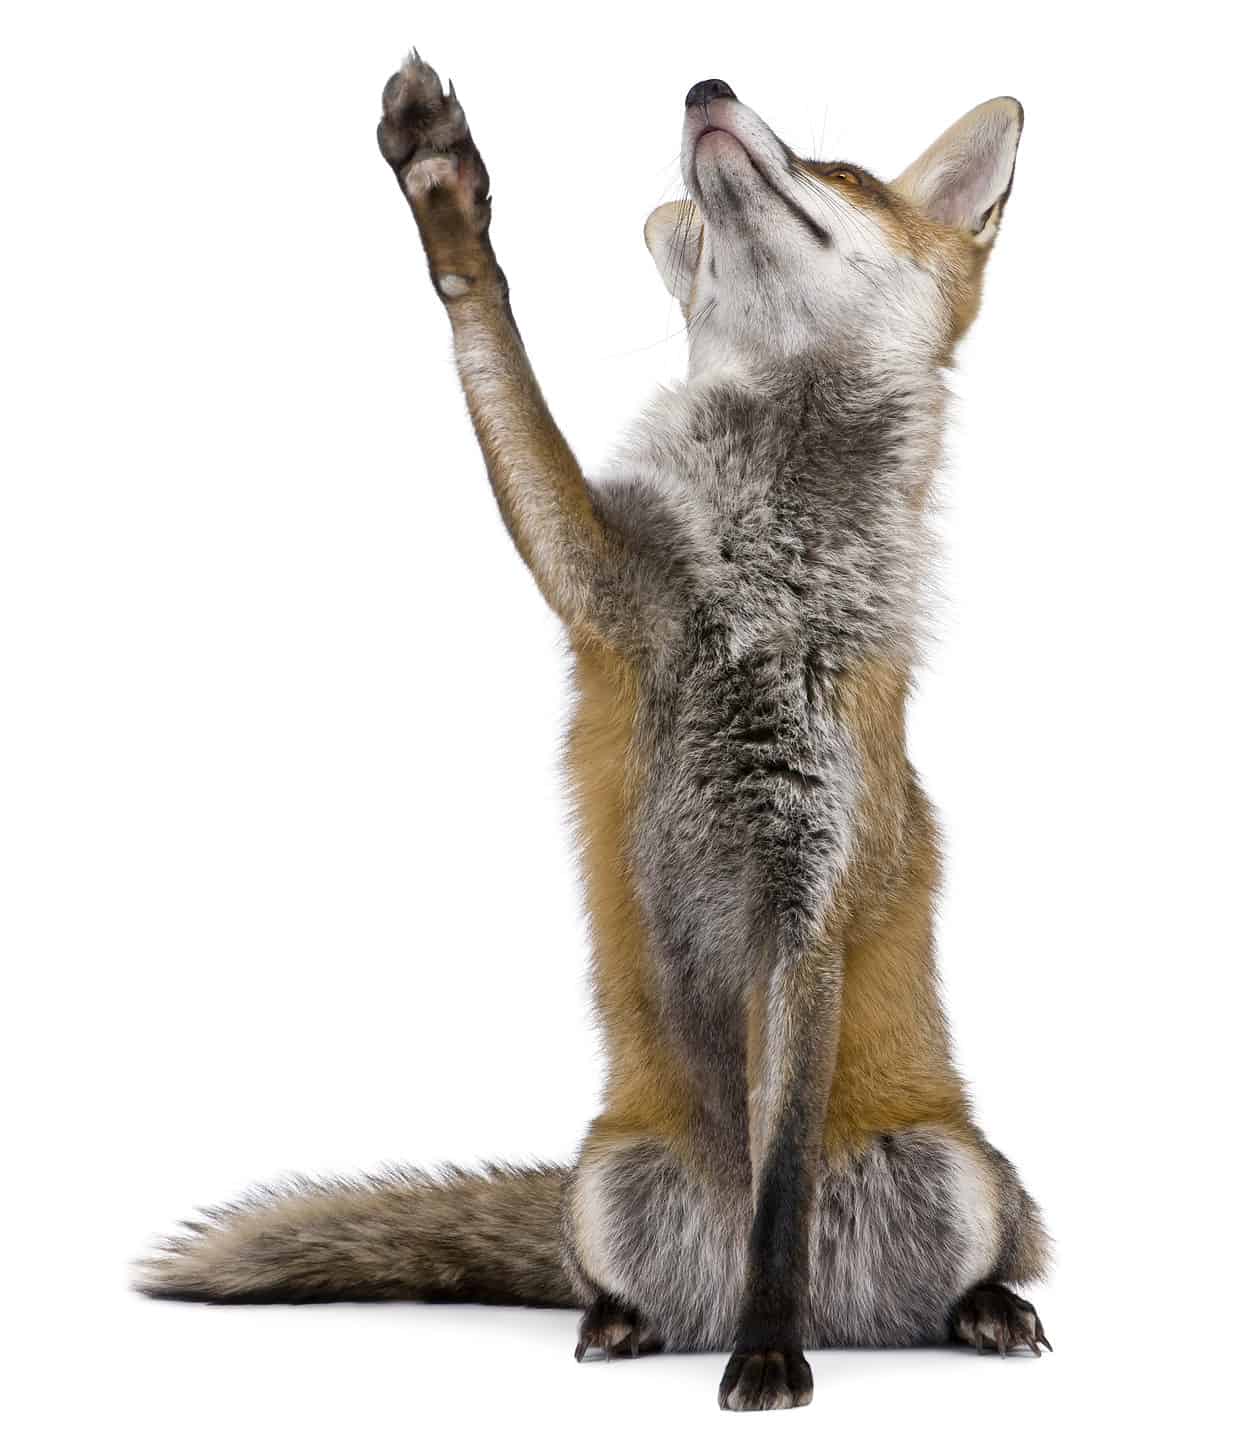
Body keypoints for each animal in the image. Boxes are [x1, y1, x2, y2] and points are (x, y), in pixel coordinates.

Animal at [136, 53, 1051, 1412]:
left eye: (842, 175)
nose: (707, 86)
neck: (757, 585)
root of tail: (853, 1313)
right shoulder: (598, 581)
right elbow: (504, 369)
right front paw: (446, 200)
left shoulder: (808, 893)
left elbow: (780, 1182)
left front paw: (765, 1354)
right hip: (608, 1189)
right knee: (622, 1280)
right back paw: (621, 1323)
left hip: (963, 1174)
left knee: (943, 1266)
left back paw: (961, 1312)